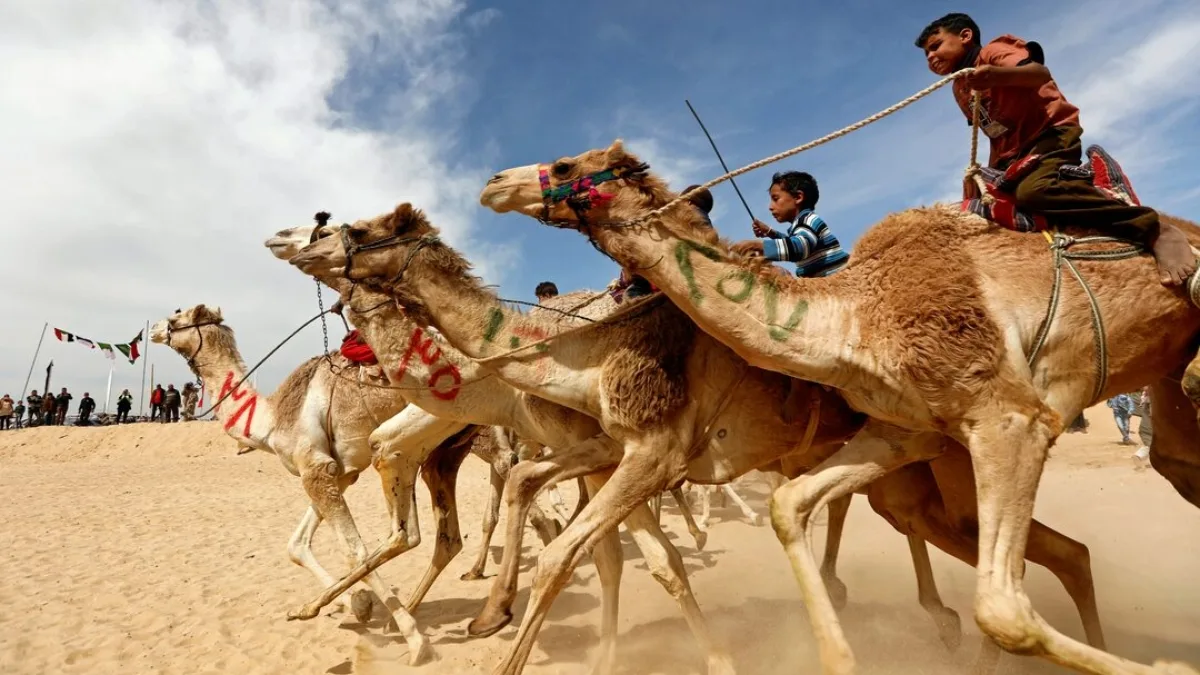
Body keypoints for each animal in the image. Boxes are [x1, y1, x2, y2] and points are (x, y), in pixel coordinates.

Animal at [288, 203, 1106, 675]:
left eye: (355, 230)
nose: (287, 238)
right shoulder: (608, 454)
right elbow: (611, 547)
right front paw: (503, 616)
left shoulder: (637, 450)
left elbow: (594, 550)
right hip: (917, 471)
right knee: (1024, 542)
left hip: (940, 452)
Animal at [477, 140, 1200, 675]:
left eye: (565, 165)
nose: (492, 182)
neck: (858, 315)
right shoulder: (907, 429)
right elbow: (787, 506)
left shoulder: (1011, 416)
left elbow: (1005, 609)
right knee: (1116, 513)